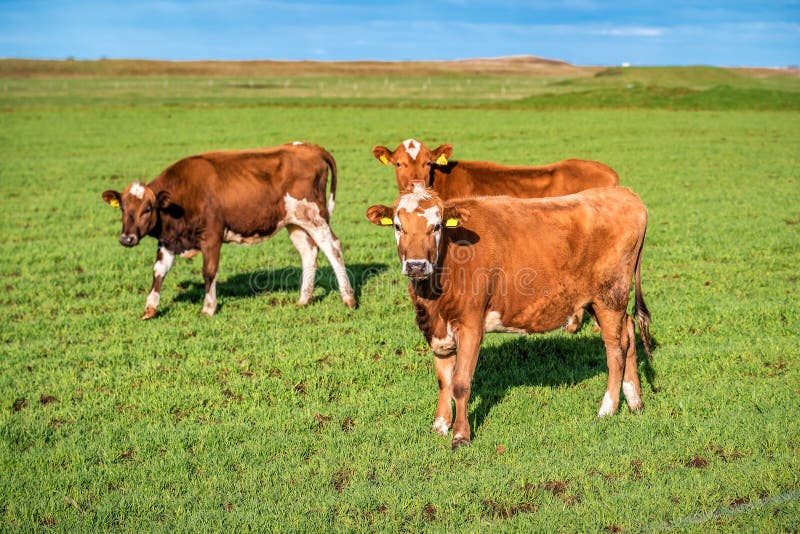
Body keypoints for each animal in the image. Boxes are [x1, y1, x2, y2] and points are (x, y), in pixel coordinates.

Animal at [102, 142, 356, 319]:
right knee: (309, 252)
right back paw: (303, 299)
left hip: (315, 216)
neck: (183, 196)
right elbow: (158, 272)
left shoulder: (211, 237)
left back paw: (349, 299)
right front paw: (150, 308)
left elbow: (209, 272)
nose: (127, 238)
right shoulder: (168, 241)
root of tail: (309, 148)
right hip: (295, 222)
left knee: (333, 248)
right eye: (123, 208)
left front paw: (208, 308)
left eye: (147, 209)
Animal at [366, 185, 652, 449]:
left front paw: (460, 435)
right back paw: (635, 400)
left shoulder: (471, 325)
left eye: (436, 226)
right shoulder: (438, 330)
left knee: (615, 350)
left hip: (609, 296)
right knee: (627, 334)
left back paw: (608, 408)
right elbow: (444, 381)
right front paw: (440, 425)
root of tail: (623, 193)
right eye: (398, 226)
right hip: (599, 300)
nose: (416, 265)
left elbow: (460, 383)